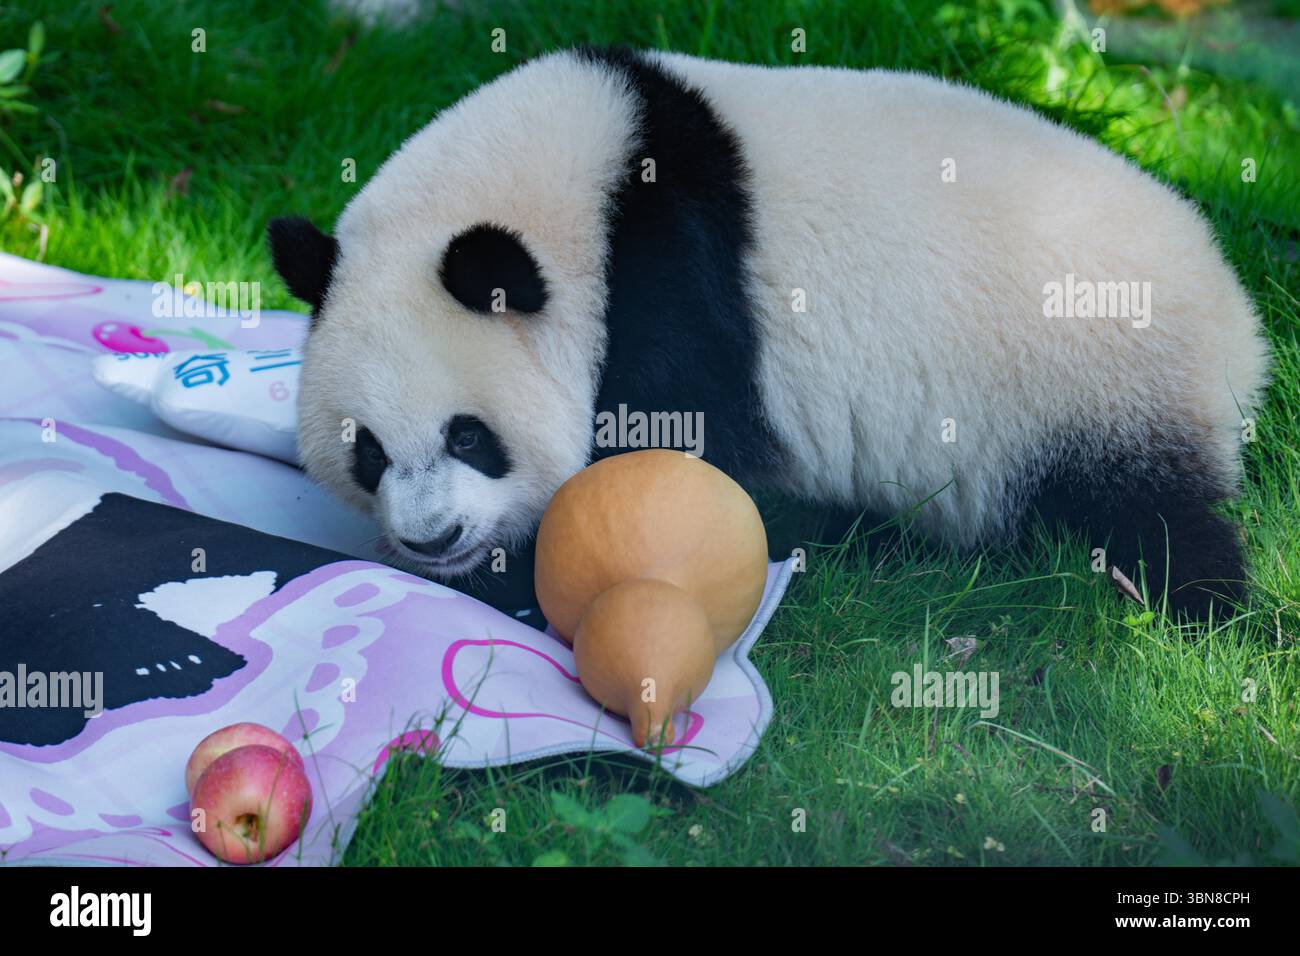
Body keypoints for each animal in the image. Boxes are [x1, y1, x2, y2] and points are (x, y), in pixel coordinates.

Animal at [268, 46, 1270, 620]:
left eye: (470, 436)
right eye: (366, 450)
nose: (432, 538)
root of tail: (1239, 325)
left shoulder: (671, 294)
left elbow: (656, 457)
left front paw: (517, 583)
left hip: (1093, 383)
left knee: (1145, 512)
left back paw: (1203, 606)